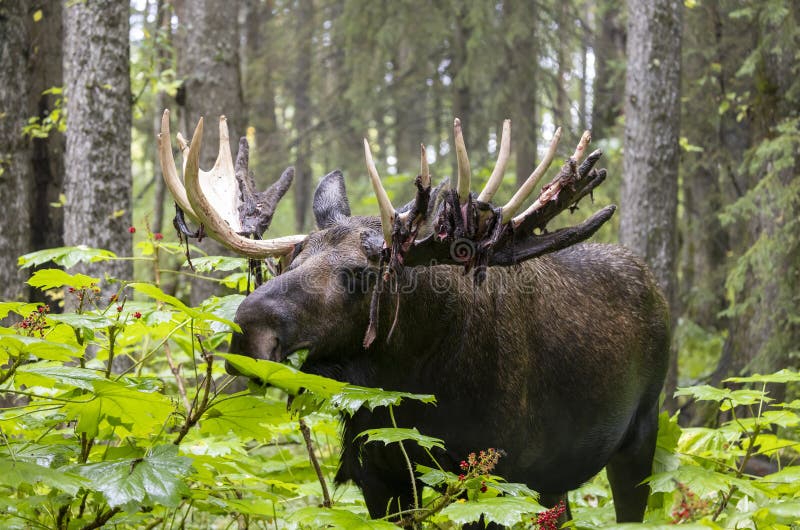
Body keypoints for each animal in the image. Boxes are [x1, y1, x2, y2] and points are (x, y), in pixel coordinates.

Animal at [158, 109, 670, 526]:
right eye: (292, 259)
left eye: (362, 274)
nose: (250, 331)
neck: (413, 383)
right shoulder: (379, 477)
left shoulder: (494, 479)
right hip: (555, 482)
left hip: (638, 436)